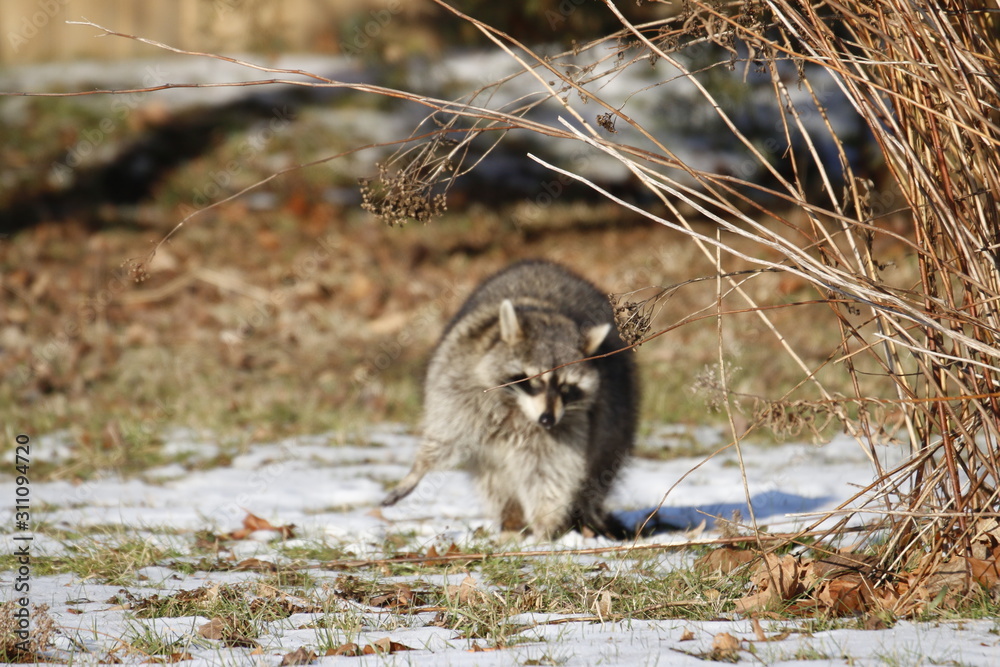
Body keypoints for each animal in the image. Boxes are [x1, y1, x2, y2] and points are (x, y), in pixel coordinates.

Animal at [382, 260, 638, 539]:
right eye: (535, 380)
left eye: (566, 387)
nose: (547, 420)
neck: (518, 407)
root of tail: (544, 264)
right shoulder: (458, 383)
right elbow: (446, 435)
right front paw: (419, 468)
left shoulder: (573, 422)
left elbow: (549, 469)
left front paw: (546, 524)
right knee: (495, 482)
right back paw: (512, 521)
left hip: (614, 425)